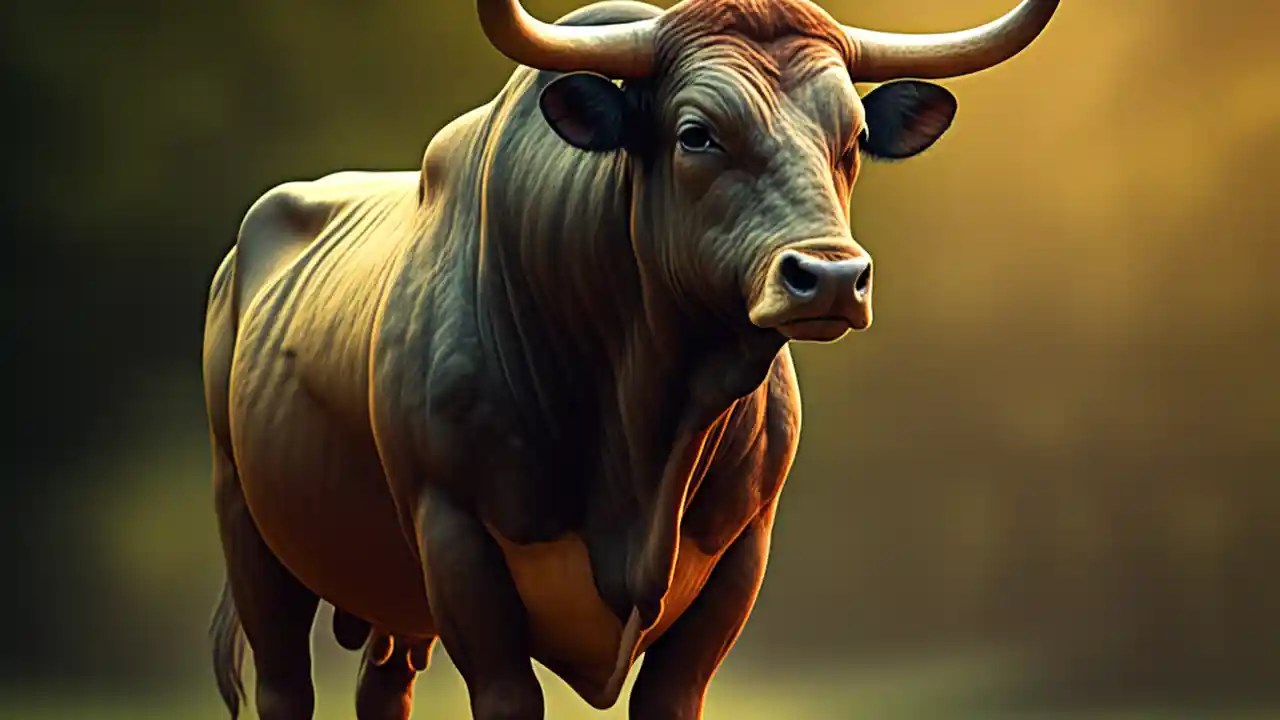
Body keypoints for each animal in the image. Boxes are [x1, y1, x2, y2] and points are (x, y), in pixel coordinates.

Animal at [202, 1, 1059, 718]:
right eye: (696, 133)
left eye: (852, 140)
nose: (830, 277)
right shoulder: (453, 536)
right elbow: (508, 696)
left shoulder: (739, 555)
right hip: (250, 532)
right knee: (285, 687)